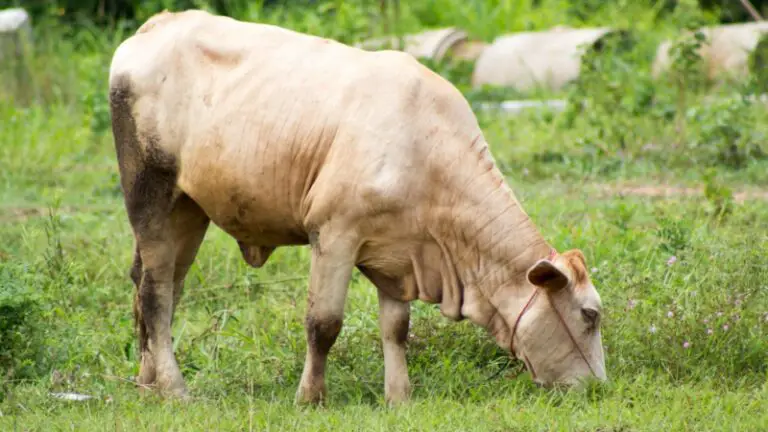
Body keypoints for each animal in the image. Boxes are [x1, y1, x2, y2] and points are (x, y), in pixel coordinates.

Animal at [108, 9, 607, 405]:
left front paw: (399, 397)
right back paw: (175, 390)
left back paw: (148, 383)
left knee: (162, 289)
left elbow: (397, 327)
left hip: (189, 209)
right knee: (155, 293)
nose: (598, 387)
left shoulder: (399, 253)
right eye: (590, 315)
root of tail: (158, 24)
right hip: (150, 195)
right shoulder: (334, 232)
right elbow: (324, 323)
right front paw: (310, 397)